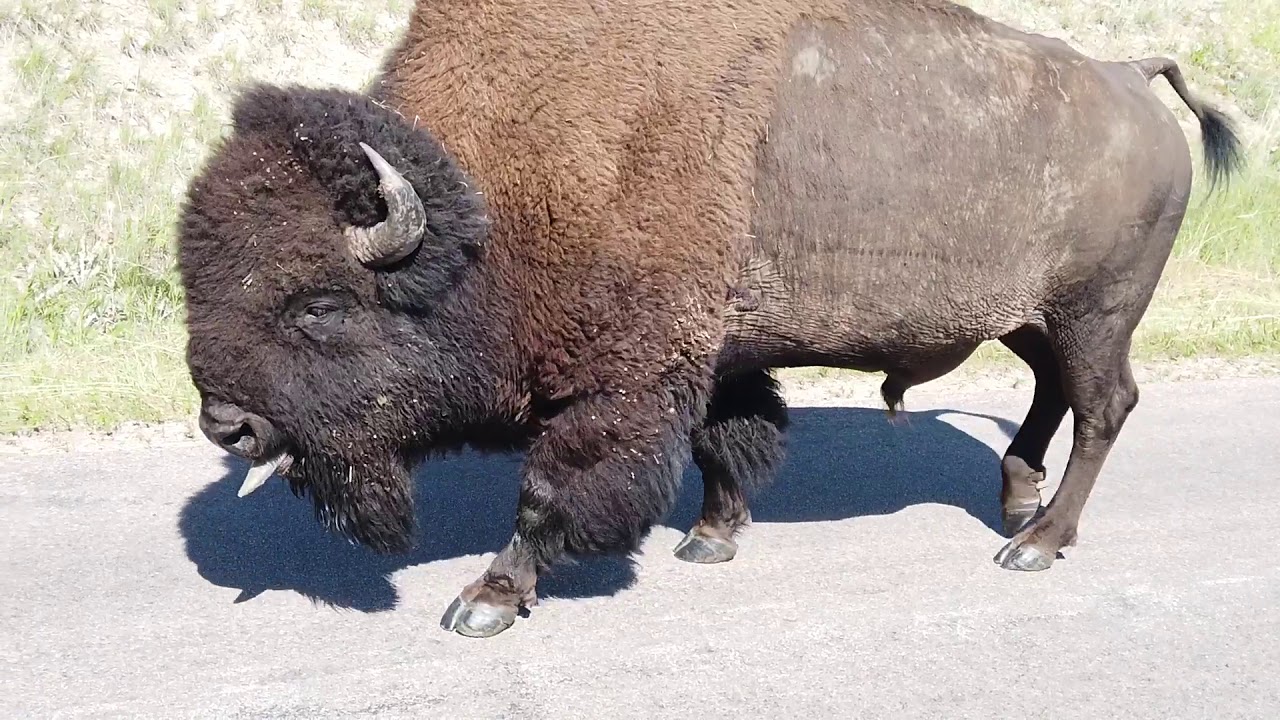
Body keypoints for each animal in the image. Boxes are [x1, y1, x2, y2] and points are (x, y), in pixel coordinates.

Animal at [177, 0, 1243, 638]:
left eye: (320, 305)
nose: (227, 425)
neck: (489, 210)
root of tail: (1132, 75)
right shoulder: (709, 359)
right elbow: (729, 441)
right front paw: (712, 538)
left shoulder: (625, 382)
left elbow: (550, 490)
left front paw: (487, 599)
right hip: (1034, 316)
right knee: (1052, 393)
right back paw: (1018, 499)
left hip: (1098, 313)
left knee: (1104, 408)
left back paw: (1036, 543)